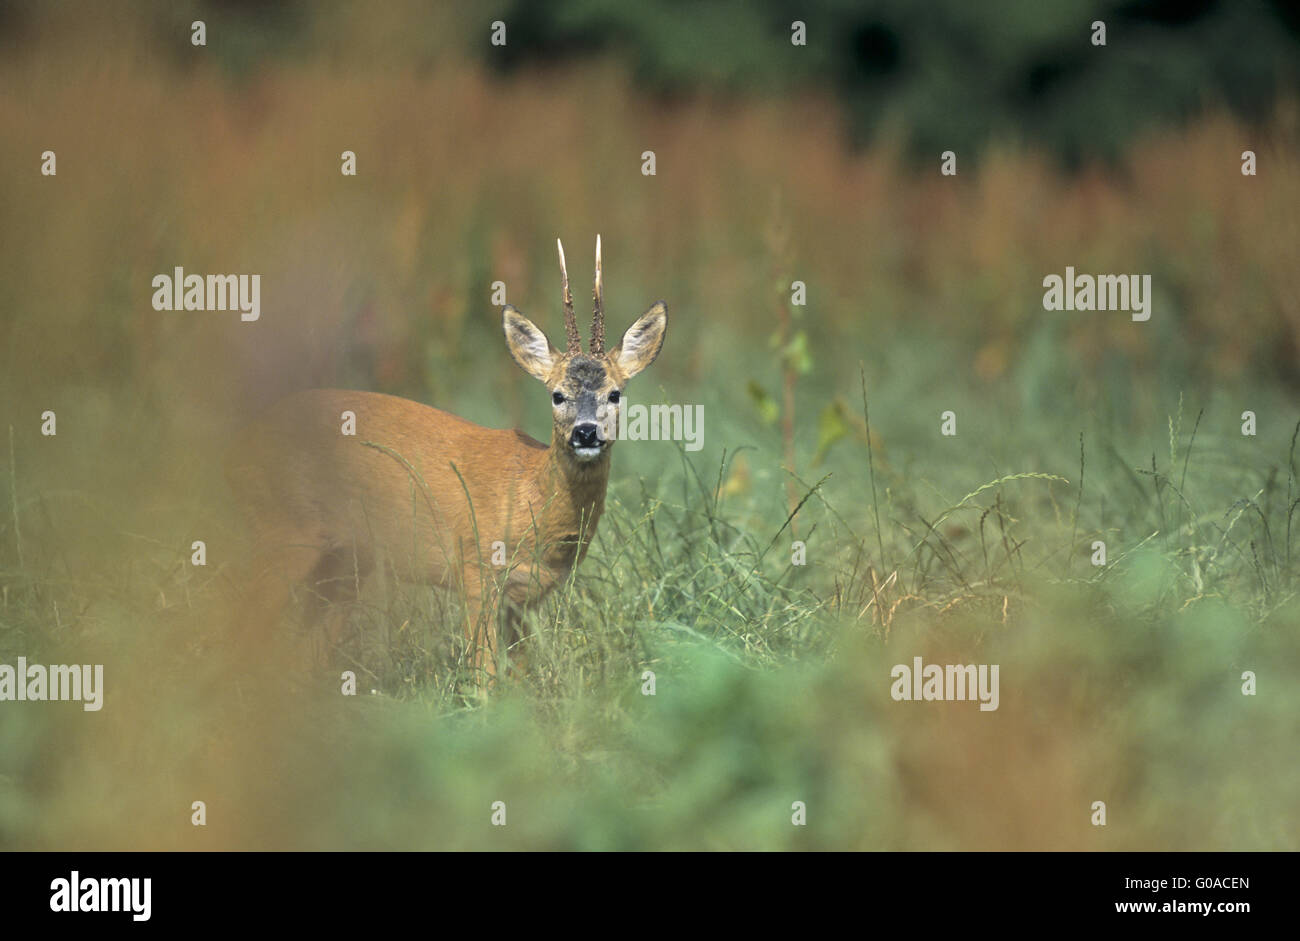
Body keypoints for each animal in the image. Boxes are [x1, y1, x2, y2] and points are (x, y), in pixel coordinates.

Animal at [224, 236, 667, 687]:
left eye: (615, 393)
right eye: (557, 395)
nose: (586, 433)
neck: (532, 496)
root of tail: (241, 442)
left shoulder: (526, 598)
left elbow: (519, 675)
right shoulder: (475, 568)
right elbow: (483, 671)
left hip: (343, 563)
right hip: (282, 529)